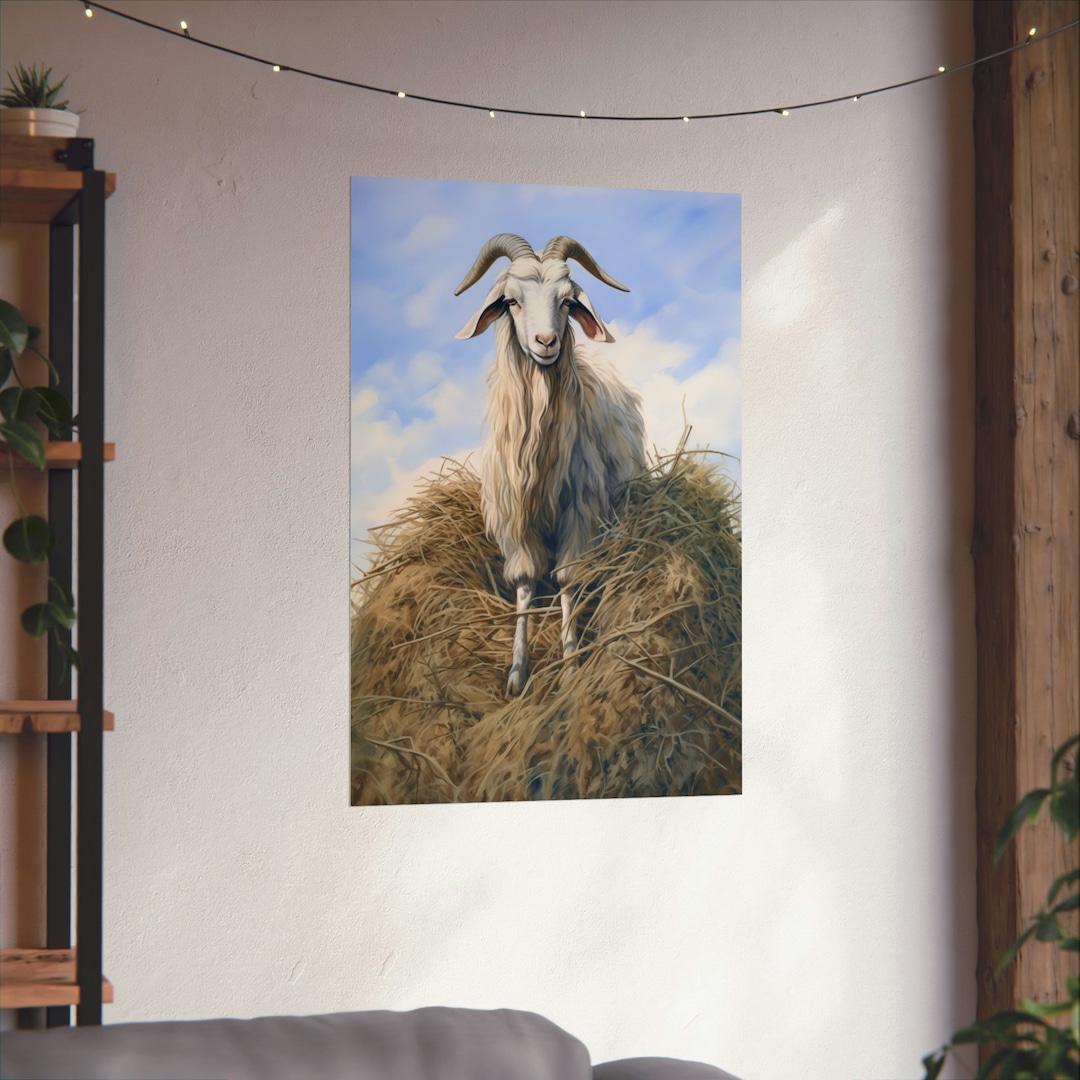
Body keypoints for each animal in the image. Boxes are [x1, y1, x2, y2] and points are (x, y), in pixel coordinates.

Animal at [454, 233, 646, 695]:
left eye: (566, 300)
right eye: (511, 301)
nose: (546, 342)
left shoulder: (580, 511)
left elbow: (566, 579)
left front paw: (572, 663)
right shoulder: (515, 520)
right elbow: (525, 583)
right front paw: (517, 674)